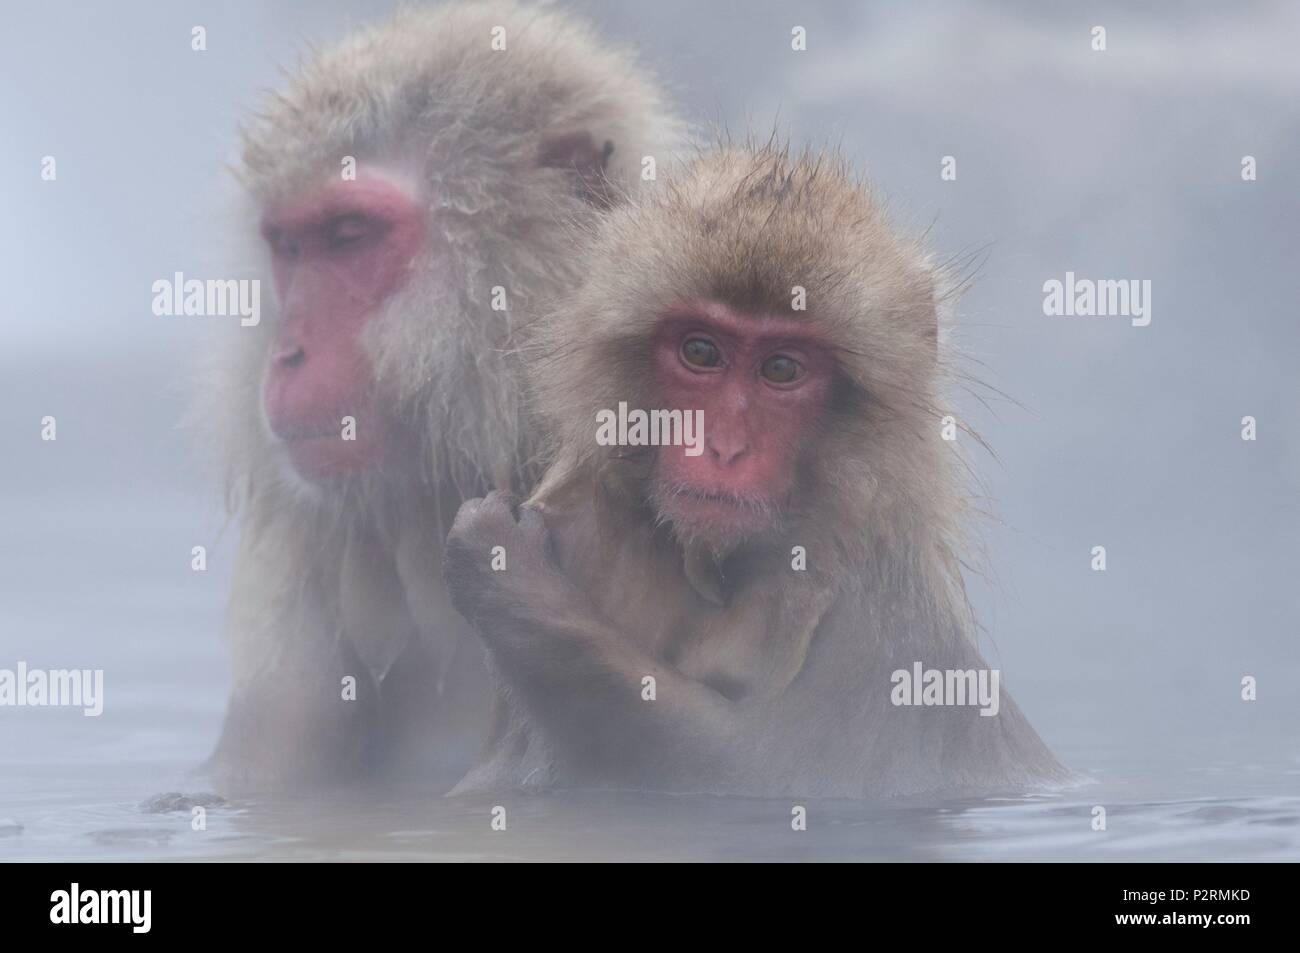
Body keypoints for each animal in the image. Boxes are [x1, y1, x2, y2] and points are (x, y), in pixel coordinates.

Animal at [443, 143, 1070, 798]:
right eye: (701, 352)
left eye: (782, 369)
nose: (724, 448)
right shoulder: (584, 514)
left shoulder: (876, 606)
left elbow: (769, 768)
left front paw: (511, 580)